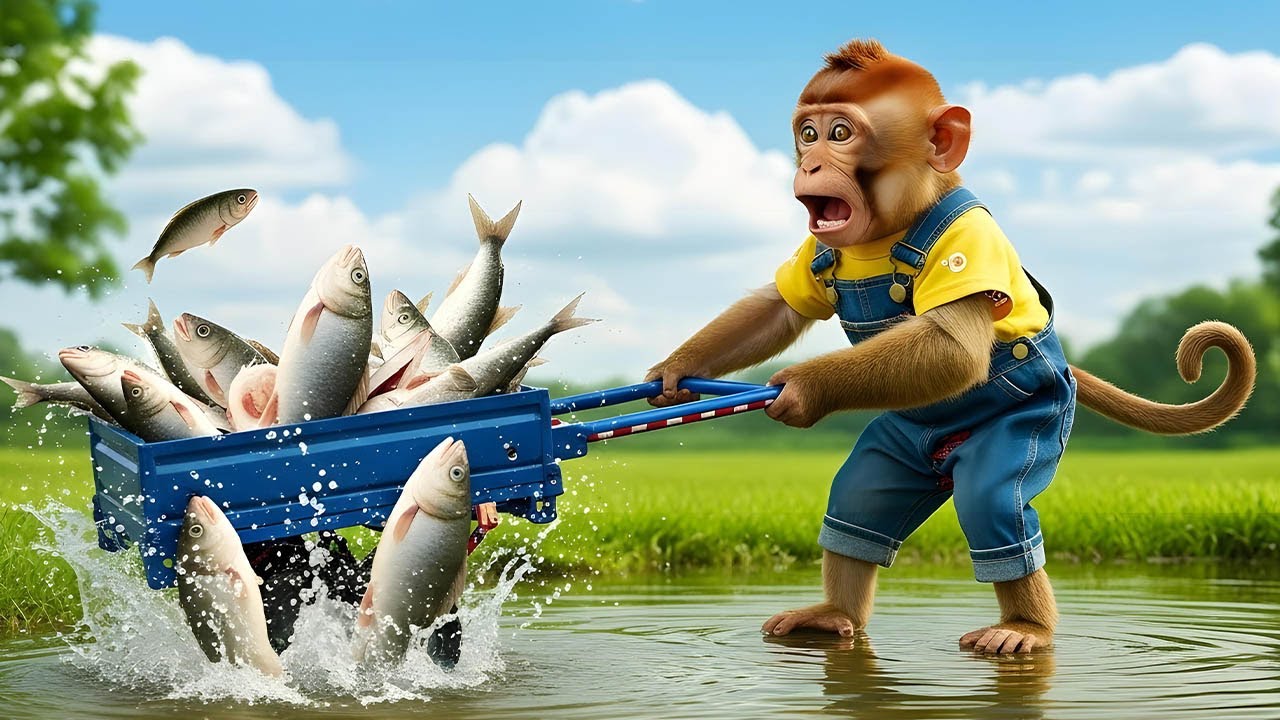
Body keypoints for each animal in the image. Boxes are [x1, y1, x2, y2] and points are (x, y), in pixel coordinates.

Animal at [645, 39, 1256, 655]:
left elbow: (956, 351)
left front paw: (799, 388)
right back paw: (833, 614)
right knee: (858, 505)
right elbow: (779, 307)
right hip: (897, 446)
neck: (887, 231)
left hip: (1030, 428)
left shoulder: (971, 243)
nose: (809, 163)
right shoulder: (814, 251)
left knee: (995, 507)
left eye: (839, 133)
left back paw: (1024, 628)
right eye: (808, 133)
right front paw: (675, 372)